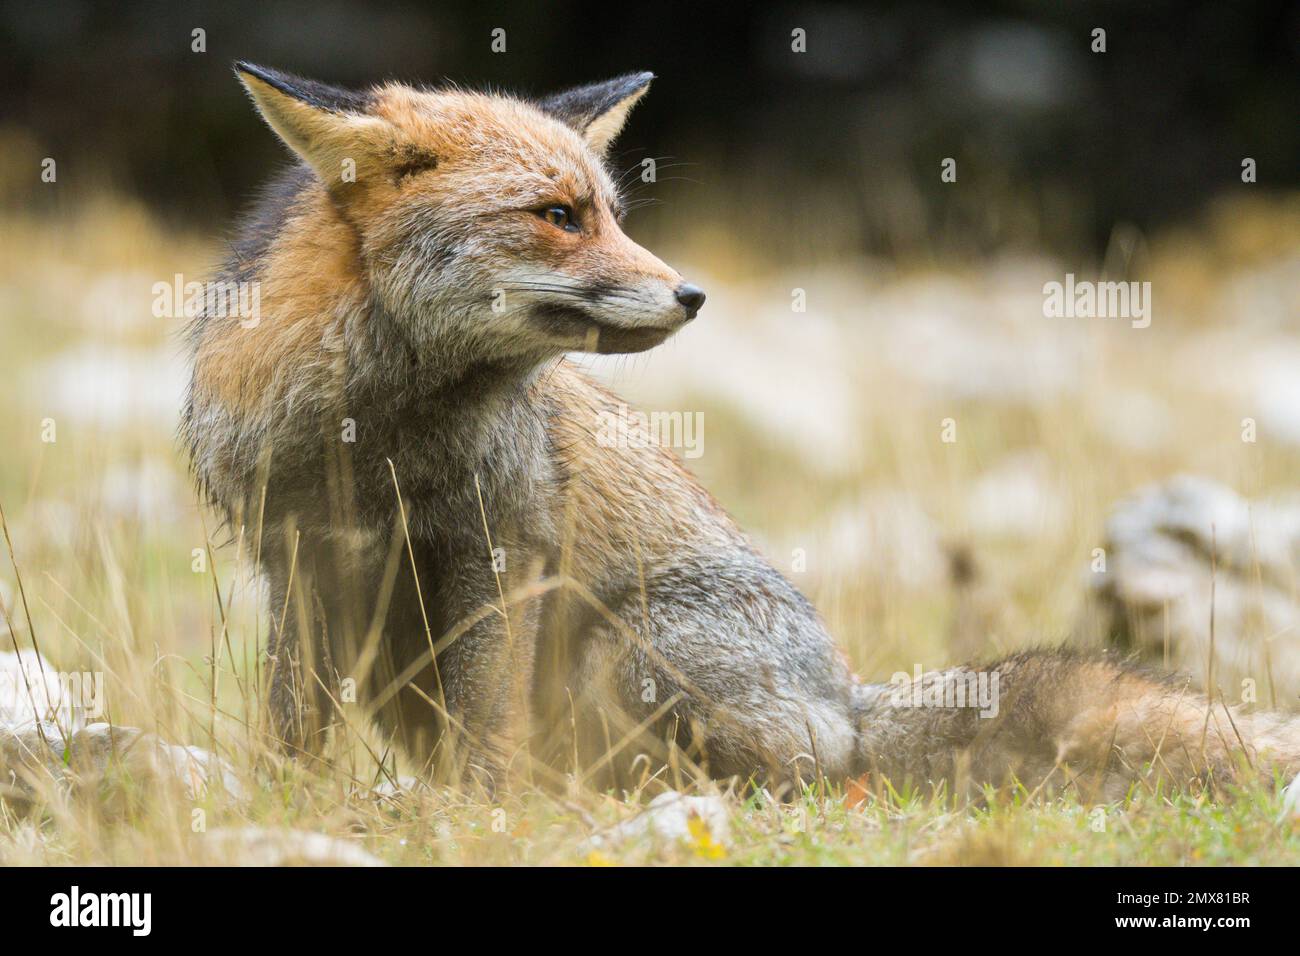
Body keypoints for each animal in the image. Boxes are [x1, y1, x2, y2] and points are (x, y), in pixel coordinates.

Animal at [183, 62, 1300, 803]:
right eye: (557, 215)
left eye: (610, 211)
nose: (692, 294)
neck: (375, 436)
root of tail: (849, 700)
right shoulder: (302, 560)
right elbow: (289, 723)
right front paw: (280, 808)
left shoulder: (500, 551)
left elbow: (486, 721)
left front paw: (479, 815)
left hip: (632, 645)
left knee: (809, 775)